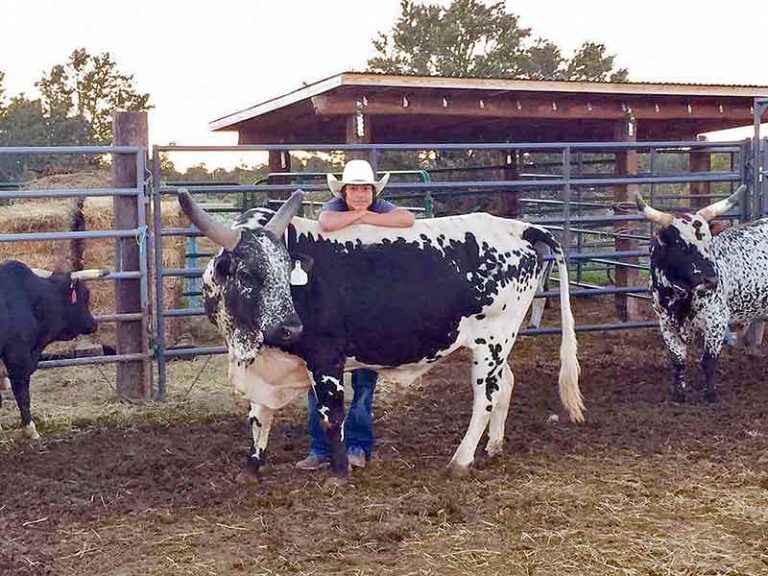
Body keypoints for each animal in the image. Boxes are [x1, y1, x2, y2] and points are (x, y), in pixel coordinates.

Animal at [178, 189, 584, 477]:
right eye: (248, 274)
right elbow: (259, 416)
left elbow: (331, 415)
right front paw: (253, 465)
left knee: (485, 396)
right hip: (493, 344)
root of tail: (516, 227)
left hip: (493, 340)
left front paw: (340, 471)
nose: (290, 326)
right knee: (506, 385)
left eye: (284, 270)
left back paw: (460, 460)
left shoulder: (326, 356)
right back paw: (493, 446)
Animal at [635, 185, 762, 402]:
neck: (678, 298)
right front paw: (678, 394)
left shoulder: (717, 320)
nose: (712, 280)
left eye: (709, 242)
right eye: (681, 244)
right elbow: (678, 360)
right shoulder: (665, 323)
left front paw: (711, 395)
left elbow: (708, 361)